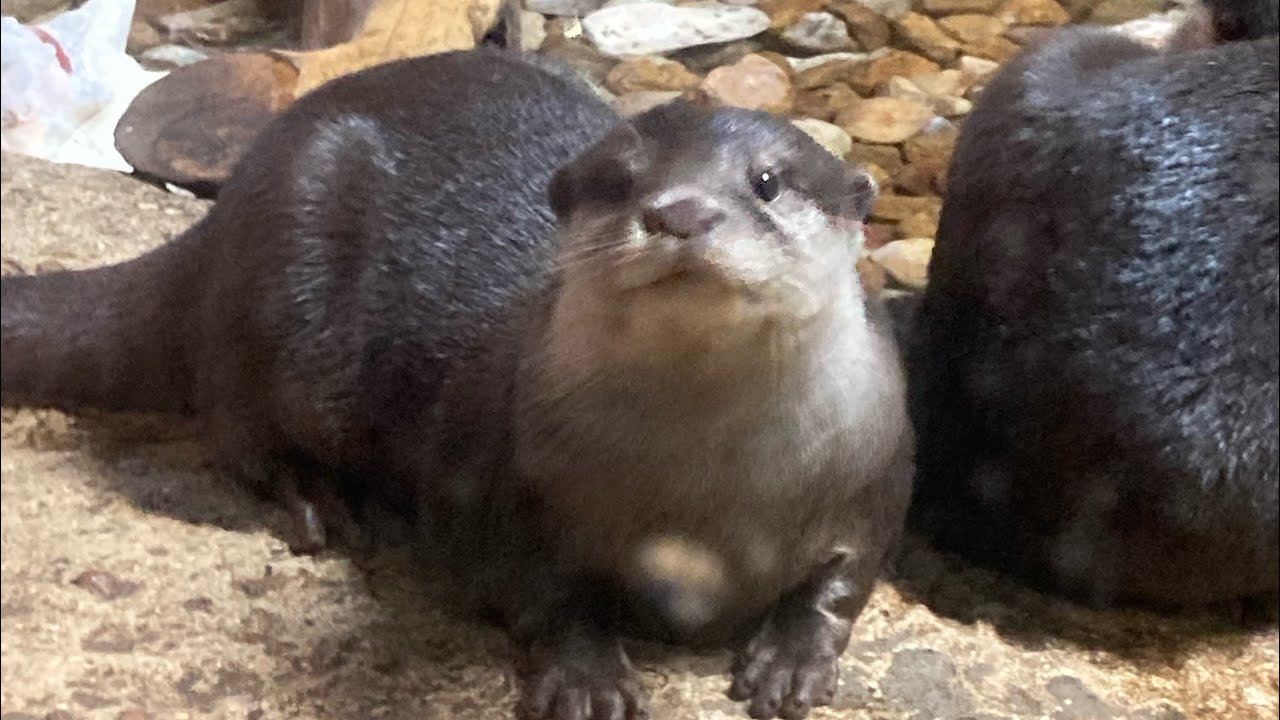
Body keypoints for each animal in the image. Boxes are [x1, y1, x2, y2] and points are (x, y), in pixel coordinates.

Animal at [1, 48, 912, 720]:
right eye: (623, 180)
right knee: (240, 429)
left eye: (767, 181)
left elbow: (843, 579)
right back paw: (327, 496)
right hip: (279, 285)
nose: (680, 211)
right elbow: (536, 587)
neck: (703, 494)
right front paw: (587, 670)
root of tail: (220, 217)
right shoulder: (492, 483)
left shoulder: (876, 471)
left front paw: (792, 657)